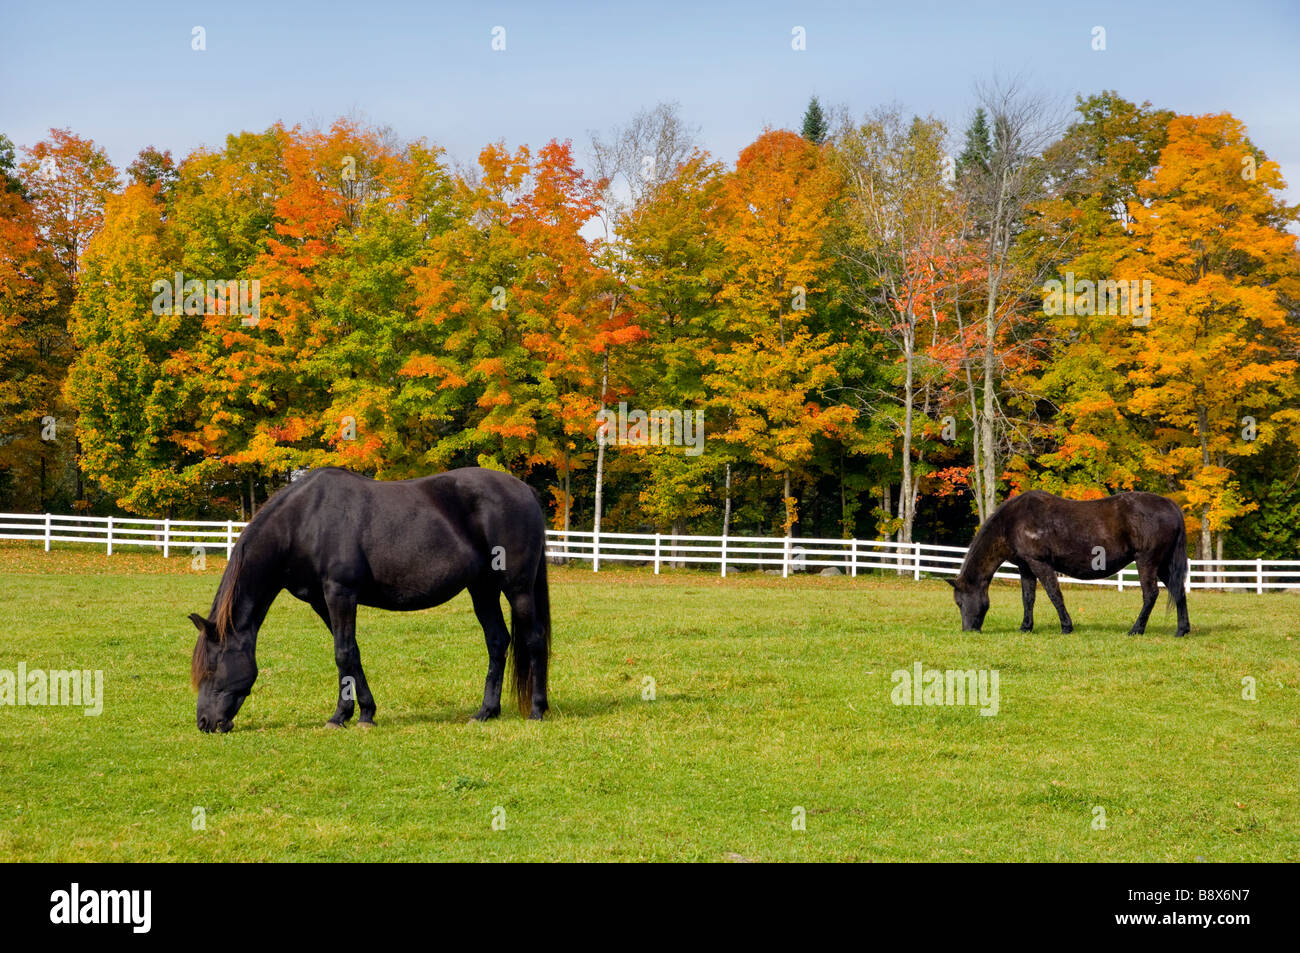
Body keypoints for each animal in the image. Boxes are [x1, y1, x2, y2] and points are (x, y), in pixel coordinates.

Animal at [188, 466, 552, 732]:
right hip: (482, 589)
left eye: (212, 666)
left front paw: (340, 717)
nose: (205, 722)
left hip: (517, 587)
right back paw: (486, 711)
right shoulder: (323, 601)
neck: (304, 522)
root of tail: (525, 491)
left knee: (533, 640)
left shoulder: (341, 593)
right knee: (497, 641)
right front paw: (363, 713)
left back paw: (537, 710)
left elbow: (343, 653)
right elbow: (352, 653)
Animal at [947, 490, 1190, 637]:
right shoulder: (1026, 567)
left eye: (959, 602)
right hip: (1163, 565)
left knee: (1150, 594)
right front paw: (1026, 627)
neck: (1013, 522)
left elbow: (1054, 594)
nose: (968, 630)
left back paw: (1136, 629)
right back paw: (1182, 630)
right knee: (1178, 592)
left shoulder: (1040, 563)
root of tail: (1170, 505)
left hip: (1147, 561)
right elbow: (1028, 598)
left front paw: (1066, 627)